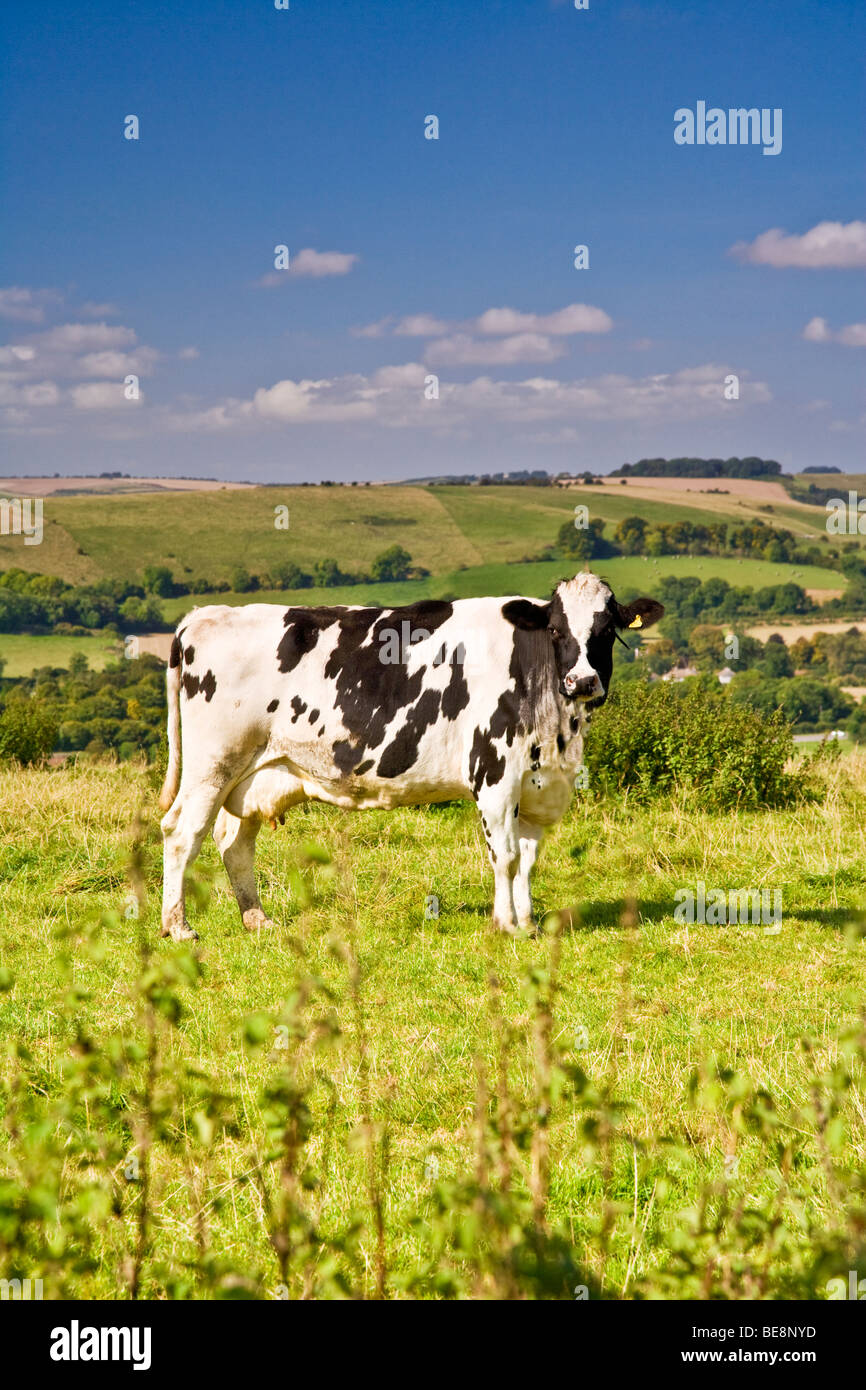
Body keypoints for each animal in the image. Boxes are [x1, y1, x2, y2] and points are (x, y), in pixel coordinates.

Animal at [158, 571, 663, 941]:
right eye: (556, 630)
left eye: (607, 630)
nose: (582, 681)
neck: (559, 728)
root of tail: (202, 616)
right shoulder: (494, 774)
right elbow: (504, 855)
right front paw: (505, 926)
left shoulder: (538, 786)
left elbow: (527, 858)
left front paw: (527, 923)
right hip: (212, 764)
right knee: (182, 832)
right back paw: (178, 927)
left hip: (254, 771)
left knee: (233, 841)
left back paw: (256, 920)